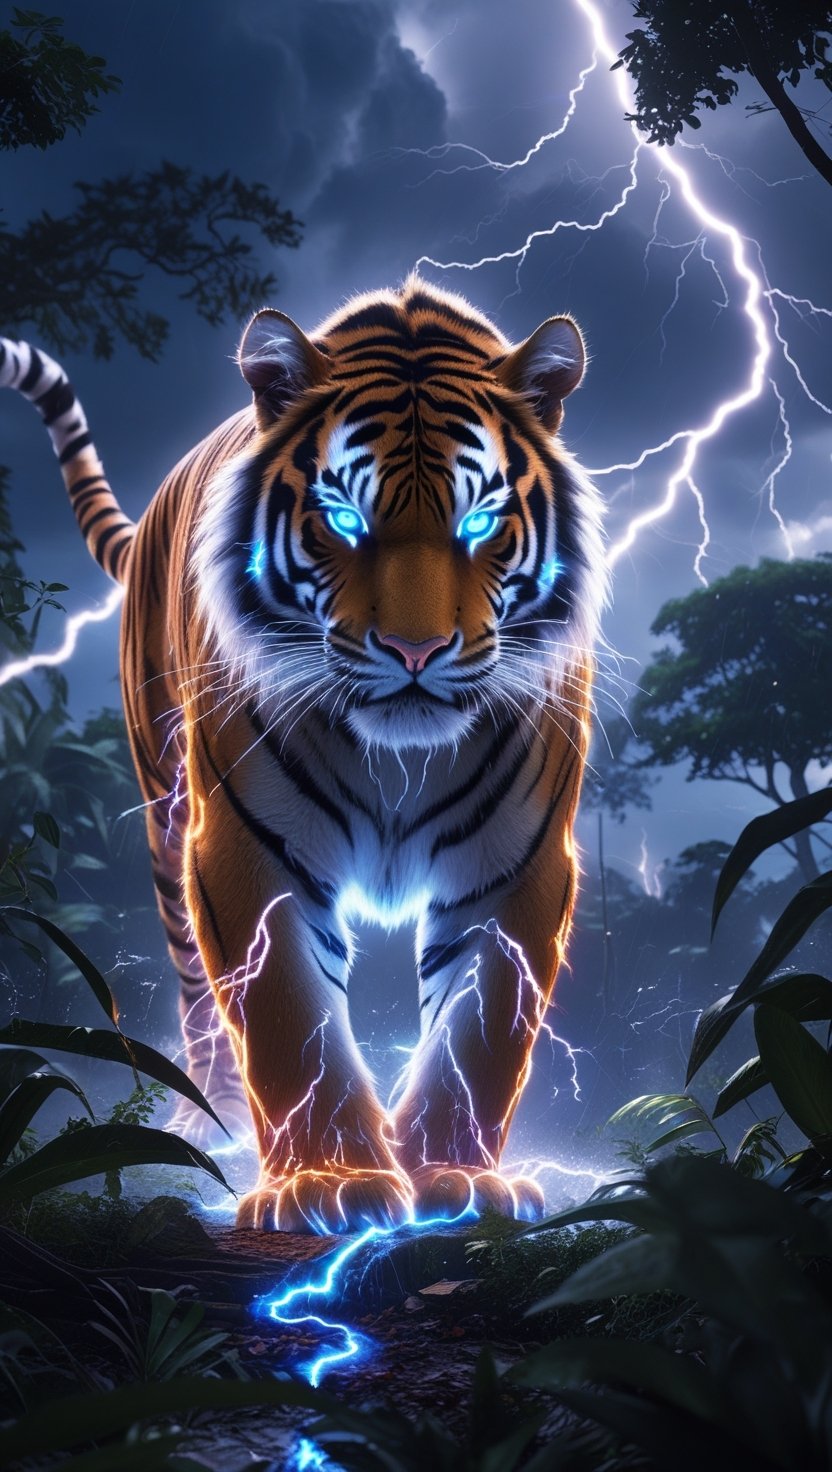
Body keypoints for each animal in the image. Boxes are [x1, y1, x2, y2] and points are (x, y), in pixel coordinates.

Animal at [0, 275, 605, 1233]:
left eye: (479, 519)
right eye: (344, 517)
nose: (414, 650)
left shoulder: (517, 862)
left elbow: (479, 1031)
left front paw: (450, 1175)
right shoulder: (250, 851)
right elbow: (288, 1012)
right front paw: (332, 1183)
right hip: (168, 822)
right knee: (198, 1001)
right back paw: (201, 1125)